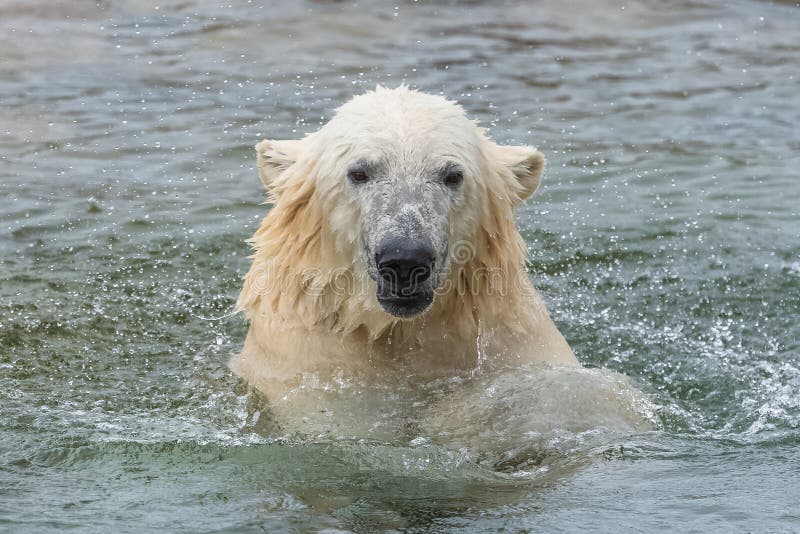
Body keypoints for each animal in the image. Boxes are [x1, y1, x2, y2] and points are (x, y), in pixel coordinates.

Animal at [231, 86, 579, 422]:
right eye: (359, 172)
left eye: (453, 175)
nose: (405, 260)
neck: (397, 328)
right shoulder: (309, 360)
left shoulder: (508, 342)